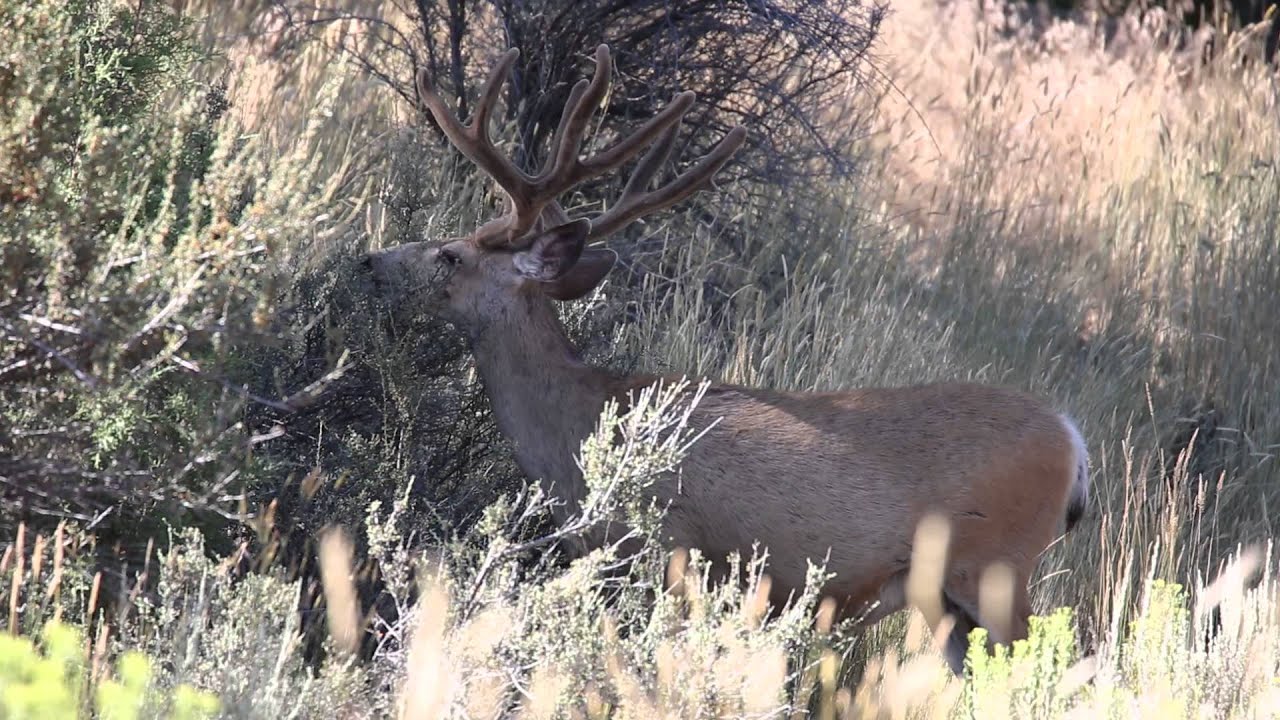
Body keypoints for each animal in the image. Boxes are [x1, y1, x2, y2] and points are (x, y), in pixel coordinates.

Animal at [362, 44, 1091, 675]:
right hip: (945, 601)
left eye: (450, 255)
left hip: (996, 569)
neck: (579, 422)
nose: (370, 261)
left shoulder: (668, 544)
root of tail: (1073, 440)